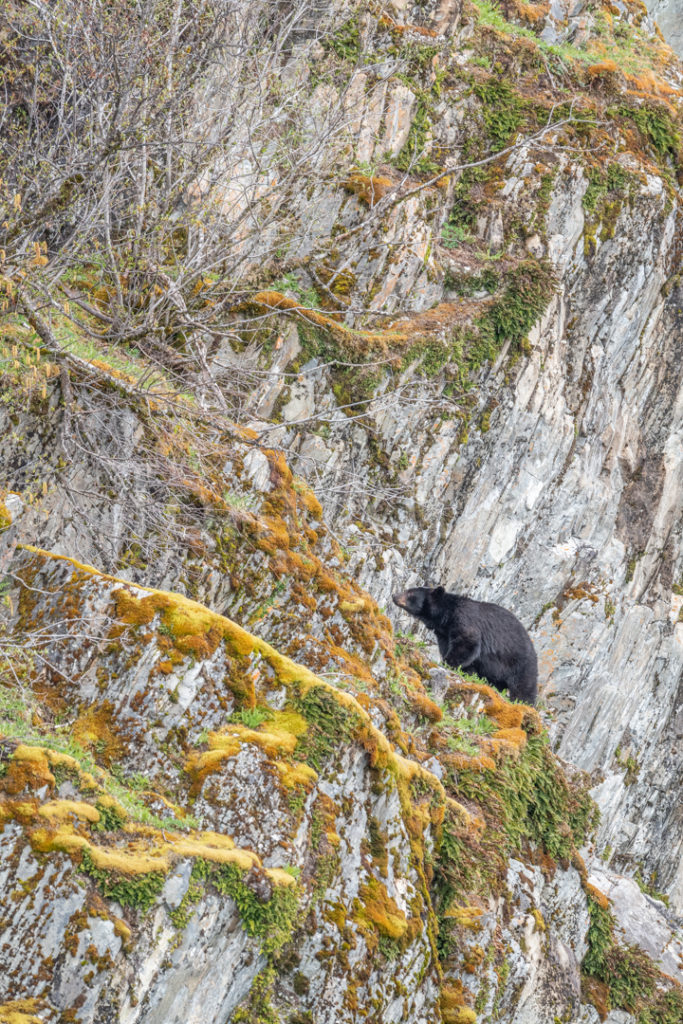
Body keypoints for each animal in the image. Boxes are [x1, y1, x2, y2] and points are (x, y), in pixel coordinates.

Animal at [392, 585, 538, 705]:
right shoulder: (444, 634)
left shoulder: (464, 621)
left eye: (410, 592)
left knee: (523, 687)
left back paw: (523, 702)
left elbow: (468, 644)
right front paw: (466, 671)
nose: (394, 596)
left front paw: (447, 663)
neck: (446, 616)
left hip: (521, 665)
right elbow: (450, 648)